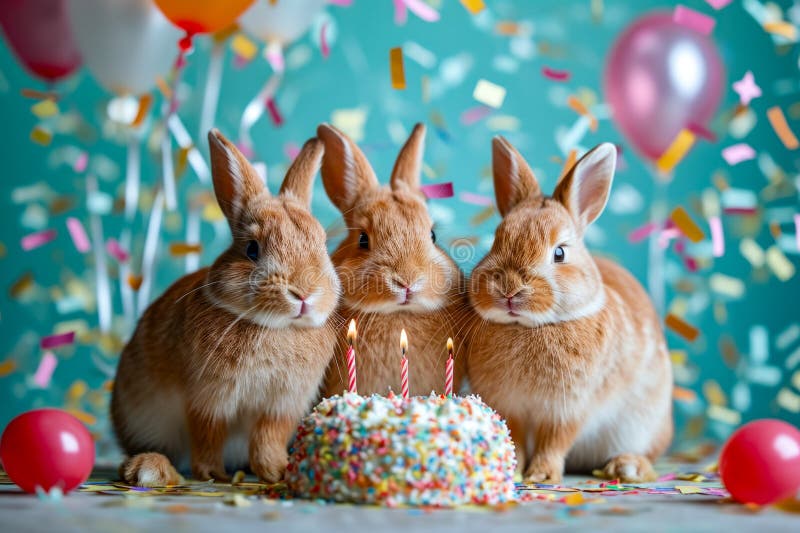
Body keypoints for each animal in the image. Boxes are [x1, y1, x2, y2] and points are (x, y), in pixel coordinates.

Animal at [111, 129, 341, 487]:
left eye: (322, 246)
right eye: (252, 249)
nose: (304, 293)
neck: (275, 327)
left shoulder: (282, 405)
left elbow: (268, 438)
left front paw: (277, 470)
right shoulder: (209, 400)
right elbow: (208, 434)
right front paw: (212, 473)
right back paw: (150, 469)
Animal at [465, 137, 673, 483]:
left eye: (560, 253)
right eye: (496, 240)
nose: (509, 289)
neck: (527, 327)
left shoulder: (568, 408)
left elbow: (554, 441)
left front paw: (541, 475)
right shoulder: (510, 407)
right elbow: (515, 437)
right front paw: (515, 470)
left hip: (644, 424)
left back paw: (627, 466)